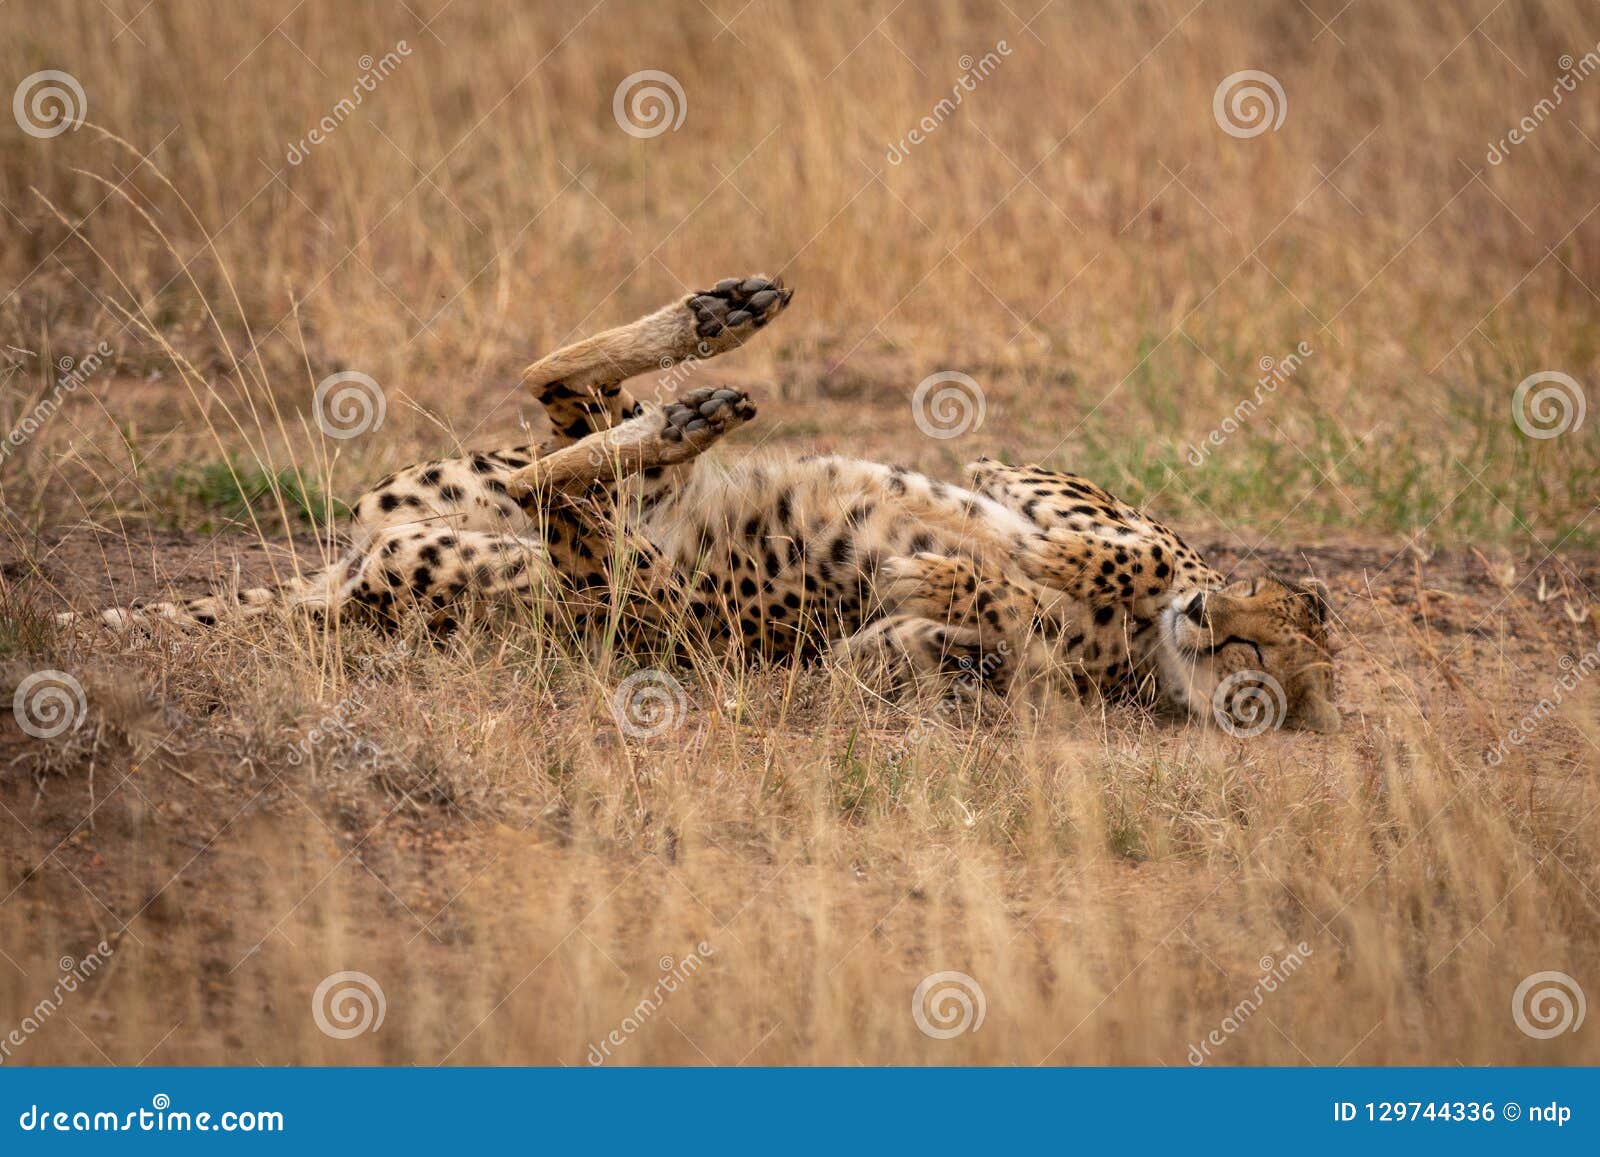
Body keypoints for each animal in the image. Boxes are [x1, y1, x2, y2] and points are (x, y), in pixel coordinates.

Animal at [59, 275, 1340, 734]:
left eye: (1257, 678)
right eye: (1263, 622)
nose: (1211, 623)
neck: (1140, 655)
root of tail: (345, 572)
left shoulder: (898, 661)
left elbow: (956, 633)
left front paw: (953, 582)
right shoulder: (1054, 490)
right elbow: (1106, 544)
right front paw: (1008, 565)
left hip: (609, 592)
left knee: (558, 479)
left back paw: (692, 403)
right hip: (531, 511)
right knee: (550, 408)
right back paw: (715, 334)